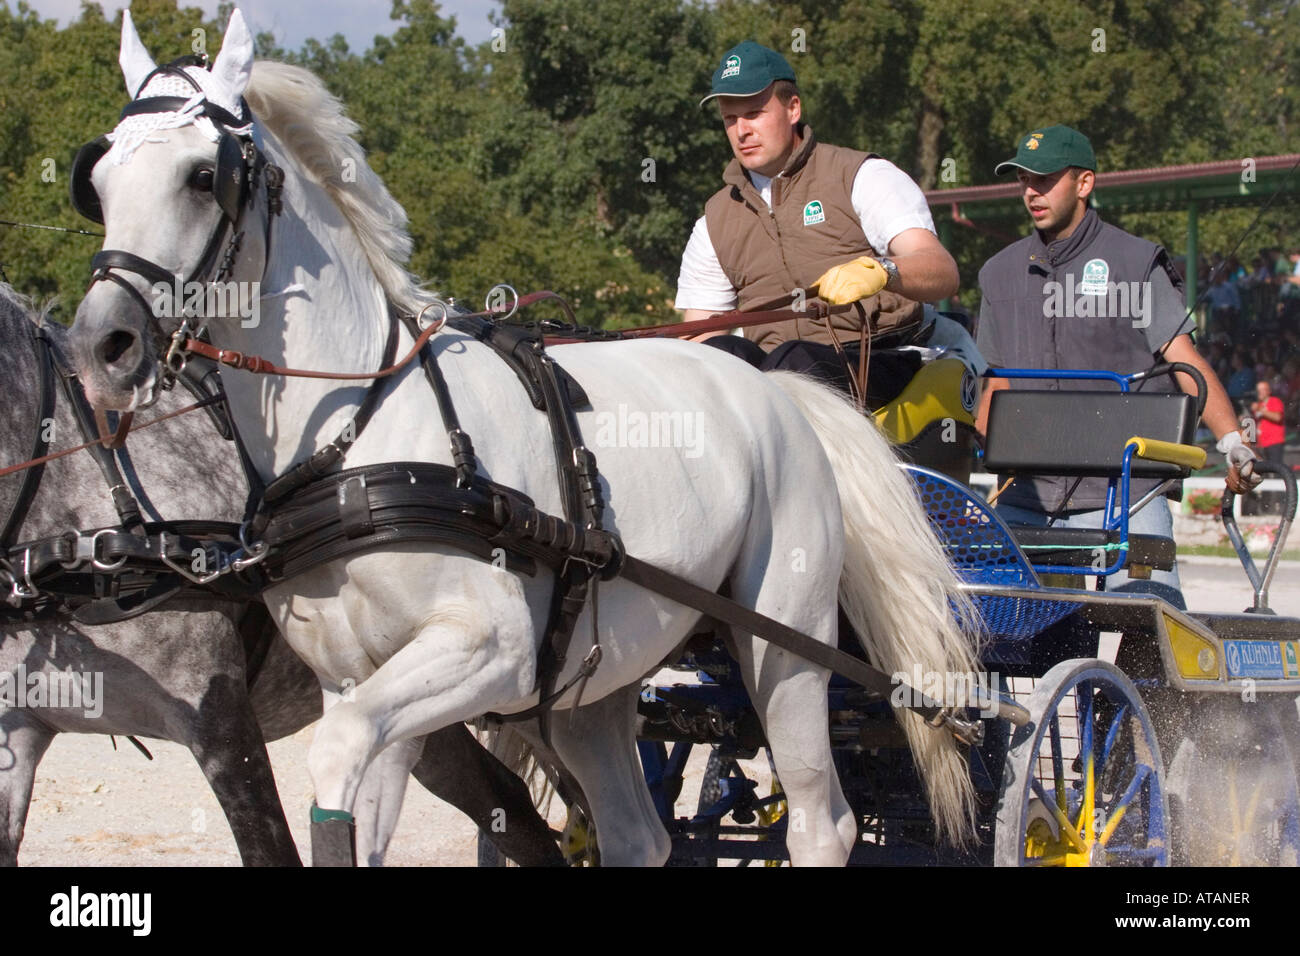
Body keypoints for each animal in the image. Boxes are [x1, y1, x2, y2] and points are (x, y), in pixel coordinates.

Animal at [66, 9, 979, 865]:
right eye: (99, 180)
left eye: (202, 177)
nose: (101, 345)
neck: (357, 437)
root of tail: (778, 390)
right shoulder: (359, 682)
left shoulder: (486, 650)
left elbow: (334, 761)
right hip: (596, 682)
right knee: (638, 835)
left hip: (784, 648)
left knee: (823, 824)